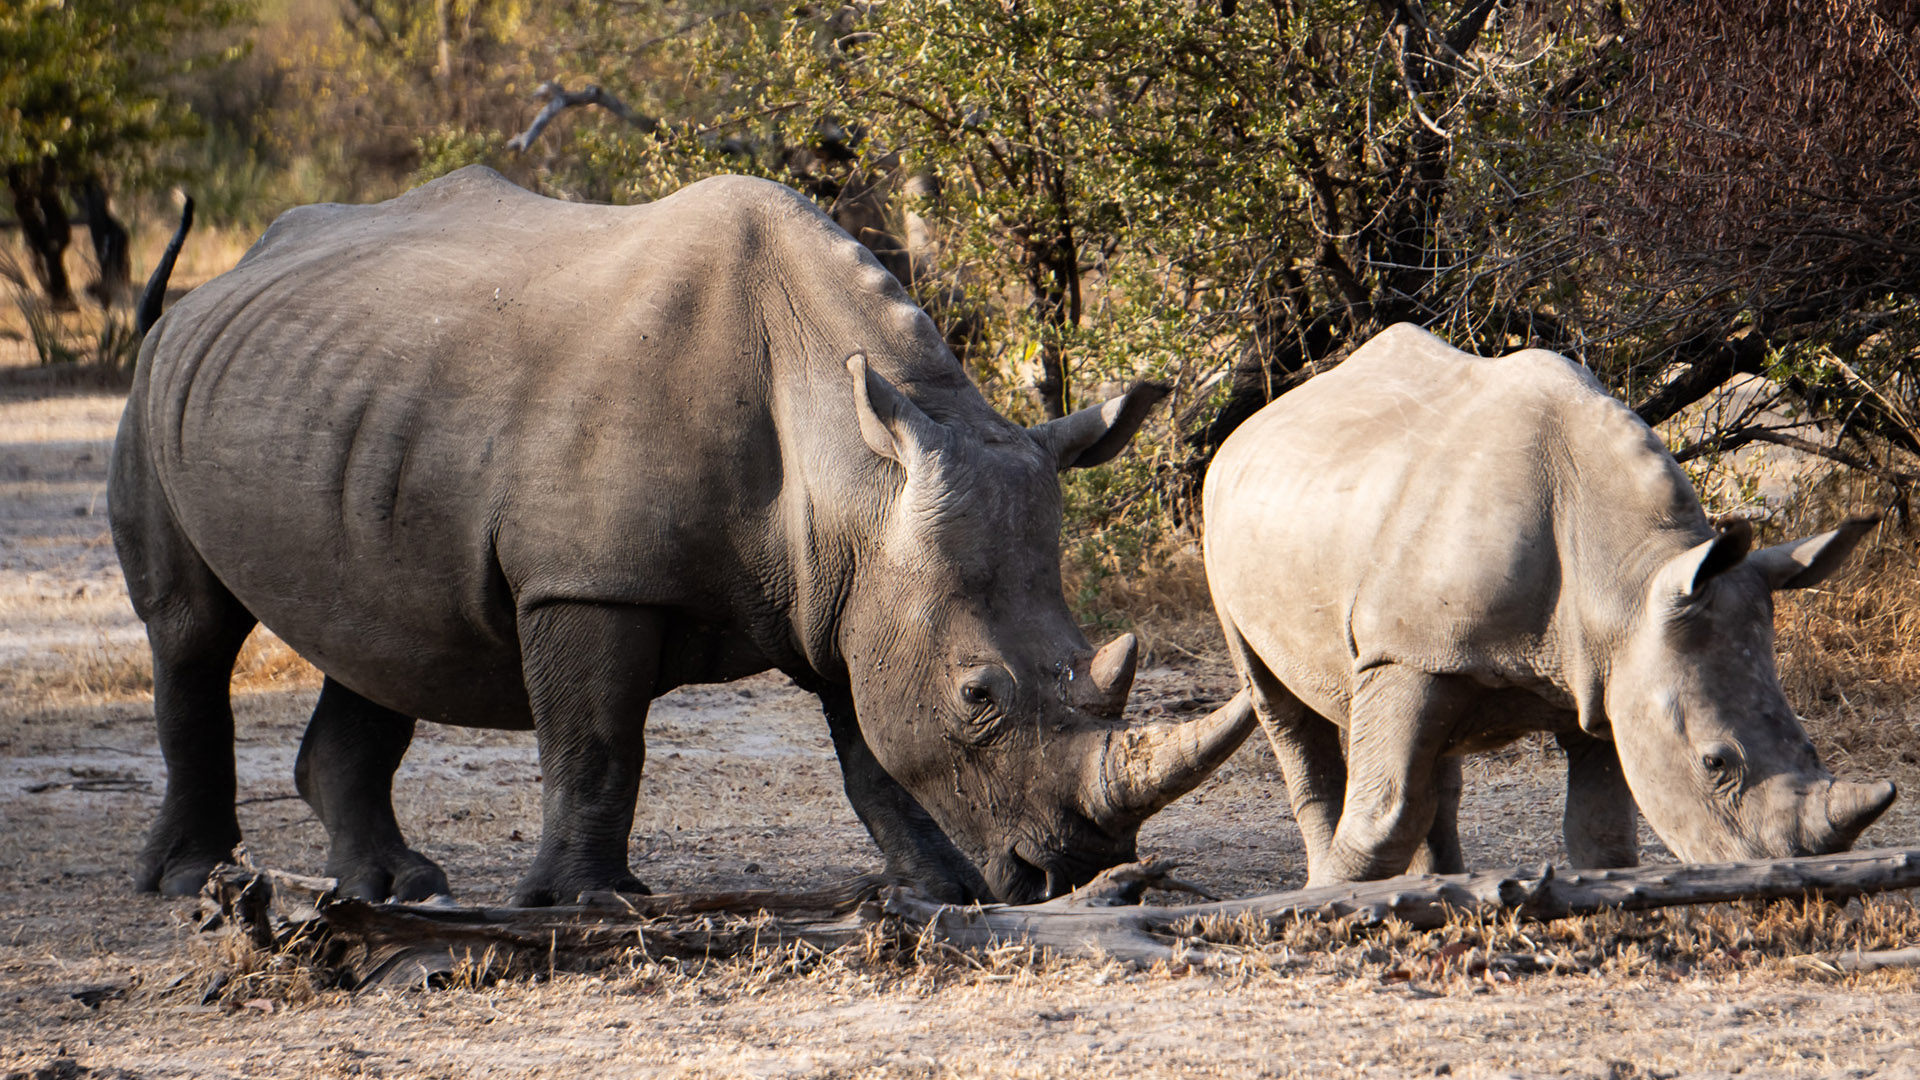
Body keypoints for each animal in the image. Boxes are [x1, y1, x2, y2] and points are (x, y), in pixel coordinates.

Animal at [112, 166, 1255, 906]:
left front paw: (937, 893)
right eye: (980, 695)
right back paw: (194, 880)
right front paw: (592, 905)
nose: (1072, 872)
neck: (851, 465)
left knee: (381, 633)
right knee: (193, 636)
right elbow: (598, 742)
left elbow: (872, 752)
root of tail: (205, 292)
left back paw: (397, 891)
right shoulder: (588, 579)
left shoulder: (856, 583)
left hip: (358, 400)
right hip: (158, 383)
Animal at [1203, 323, 1895, 883]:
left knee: (1432, 756)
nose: (1798, 877)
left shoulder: (1612, 669)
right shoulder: (1405, 652)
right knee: (1281, 707)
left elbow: (1602, 834)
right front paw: (1327, 900)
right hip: (1221, 514)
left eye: (1812, 747)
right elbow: (1381, 818)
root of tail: (1260, 418)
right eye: (1715, 762)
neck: (1629, 574)